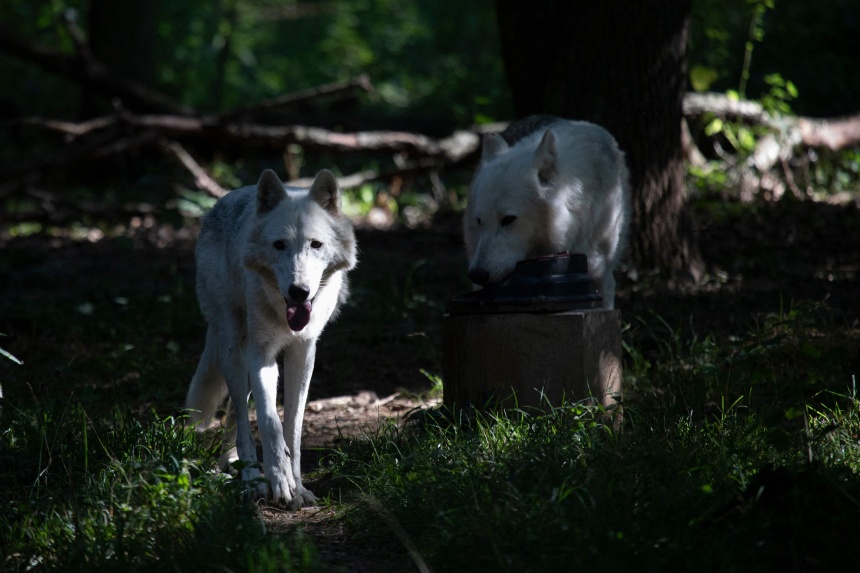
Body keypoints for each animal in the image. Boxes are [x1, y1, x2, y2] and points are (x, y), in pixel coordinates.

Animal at [185, 168, 357, 508]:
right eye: (279, 245)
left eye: (316, 244)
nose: (298, 291)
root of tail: (228, 197)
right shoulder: (261, 355)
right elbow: (269, 421)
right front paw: (280, 483)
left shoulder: (303, 353)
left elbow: (293, 426)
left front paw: (298, 486)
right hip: (232, 347)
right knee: (240, 411)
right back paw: (252, 478)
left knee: (236, 414)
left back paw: (233, 463)